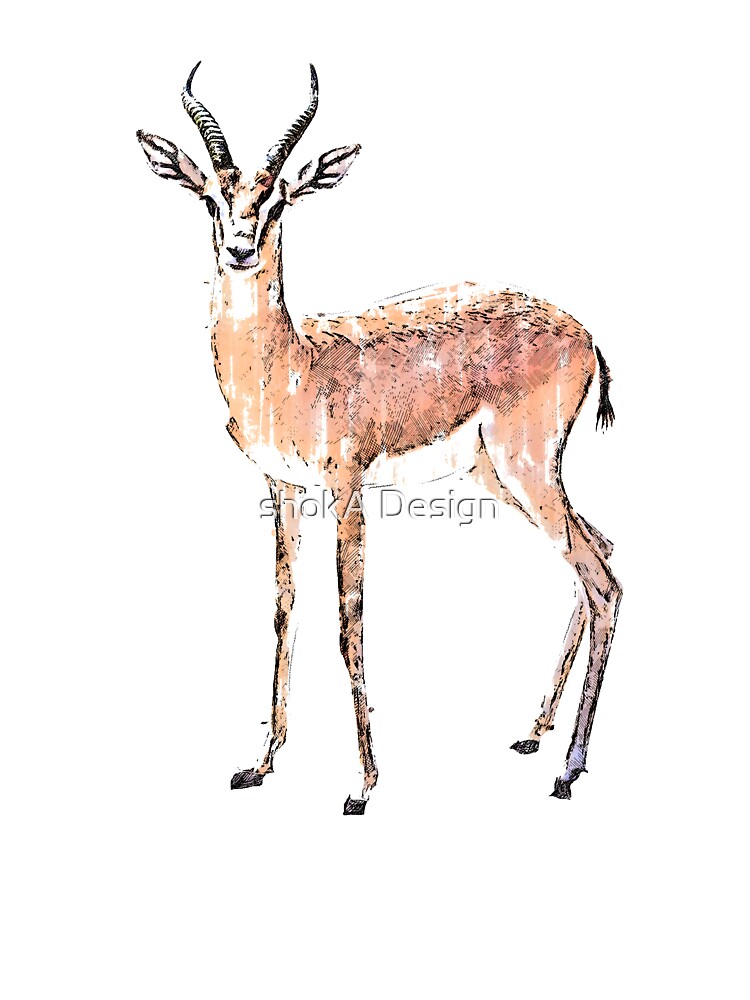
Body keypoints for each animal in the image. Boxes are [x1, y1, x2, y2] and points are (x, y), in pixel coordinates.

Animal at [137, 63, 622, 814]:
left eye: (279, 200)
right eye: (214, 197)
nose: (240, 249)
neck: (293, 367)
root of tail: (588, 335)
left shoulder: (348, 490)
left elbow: (348, 621)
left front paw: (362, 785)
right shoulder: (281, 490)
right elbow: (284, 613)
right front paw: (260, 763)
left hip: (528, 470)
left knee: (601, 579)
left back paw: (567, 770)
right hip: (500, 477)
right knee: (595, 553)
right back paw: (532, 734)